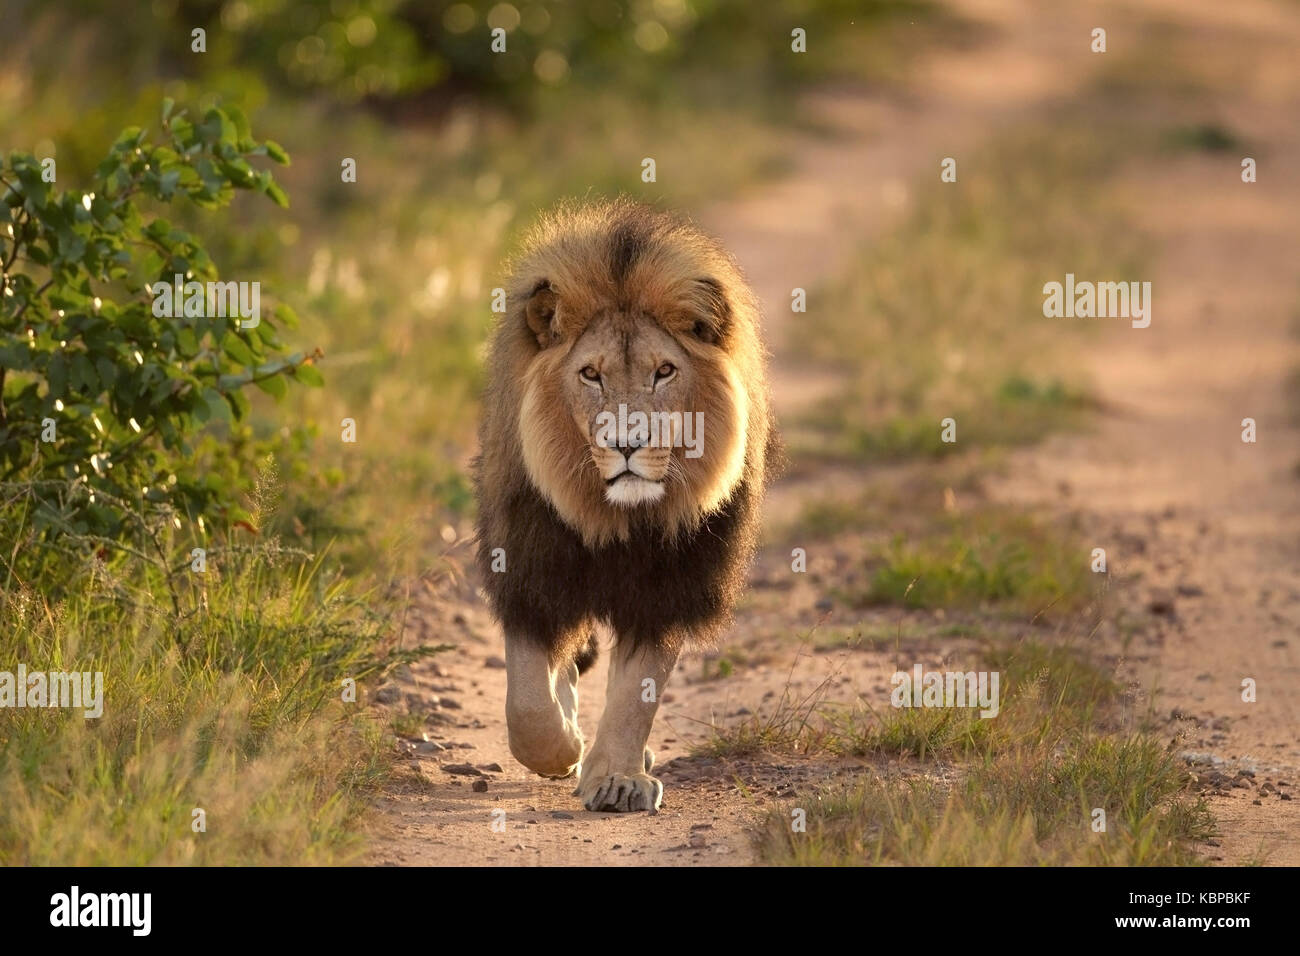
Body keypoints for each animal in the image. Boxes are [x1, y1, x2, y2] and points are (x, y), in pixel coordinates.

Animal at [474, 198, 776, 813]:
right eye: (591, 374)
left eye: (664, 371)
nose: (628, 443)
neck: (617, 517)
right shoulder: (530, 567)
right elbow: (528, 701)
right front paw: (561, 750)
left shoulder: (670, 583)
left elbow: (637, 691)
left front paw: (616, 777)